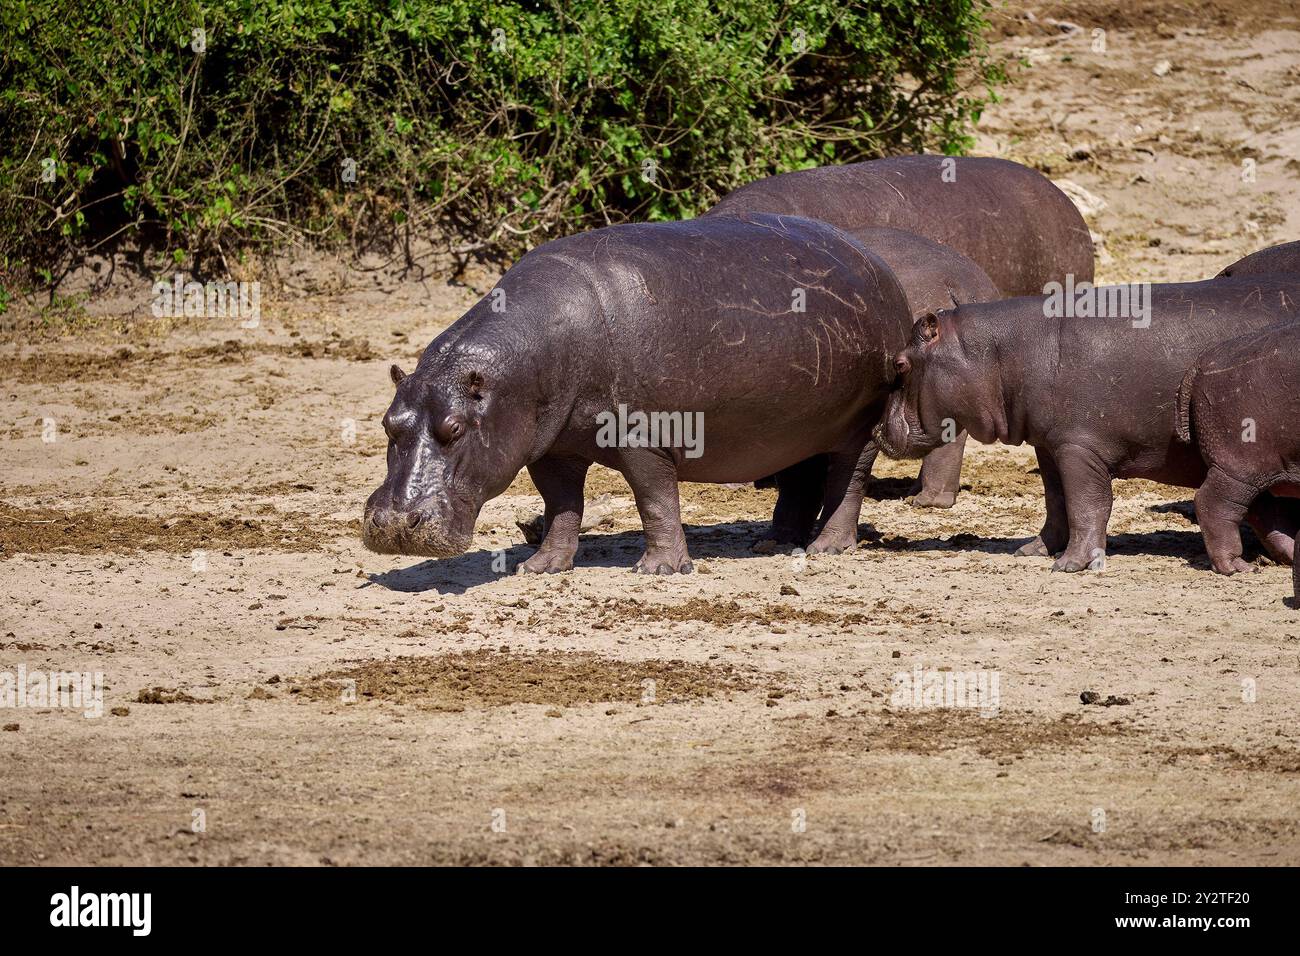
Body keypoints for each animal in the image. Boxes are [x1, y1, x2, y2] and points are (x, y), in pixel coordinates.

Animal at [363, 212, 913, 573]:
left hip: (859, 422)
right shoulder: (550, 446)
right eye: (388, 424)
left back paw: (828, 548)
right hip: (793, 421)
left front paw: (659, 569)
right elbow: (561, 505)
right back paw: (772, 544)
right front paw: (541, 566)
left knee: (849, 480)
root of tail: (878, 265)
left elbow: (654, 498)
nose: (392, 525)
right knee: (801, 476)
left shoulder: (643, 435)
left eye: (455, 428)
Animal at [874, 277, 1300, 571]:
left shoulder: (1079, 446)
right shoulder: (1049, 446)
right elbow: (1056, 501)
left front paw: (1069, 565)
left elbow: (1087, 503)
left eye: (901, 363)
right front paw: (1033, 550)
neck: (997, 354)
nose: (876, 430)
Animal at [1176, 322, 1300, 600]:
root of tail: (1198, 364)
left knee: (1263, 511)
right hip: (1240, 466)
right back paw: (1238, 567)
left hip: (1265, 468)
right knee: (1214, 503)